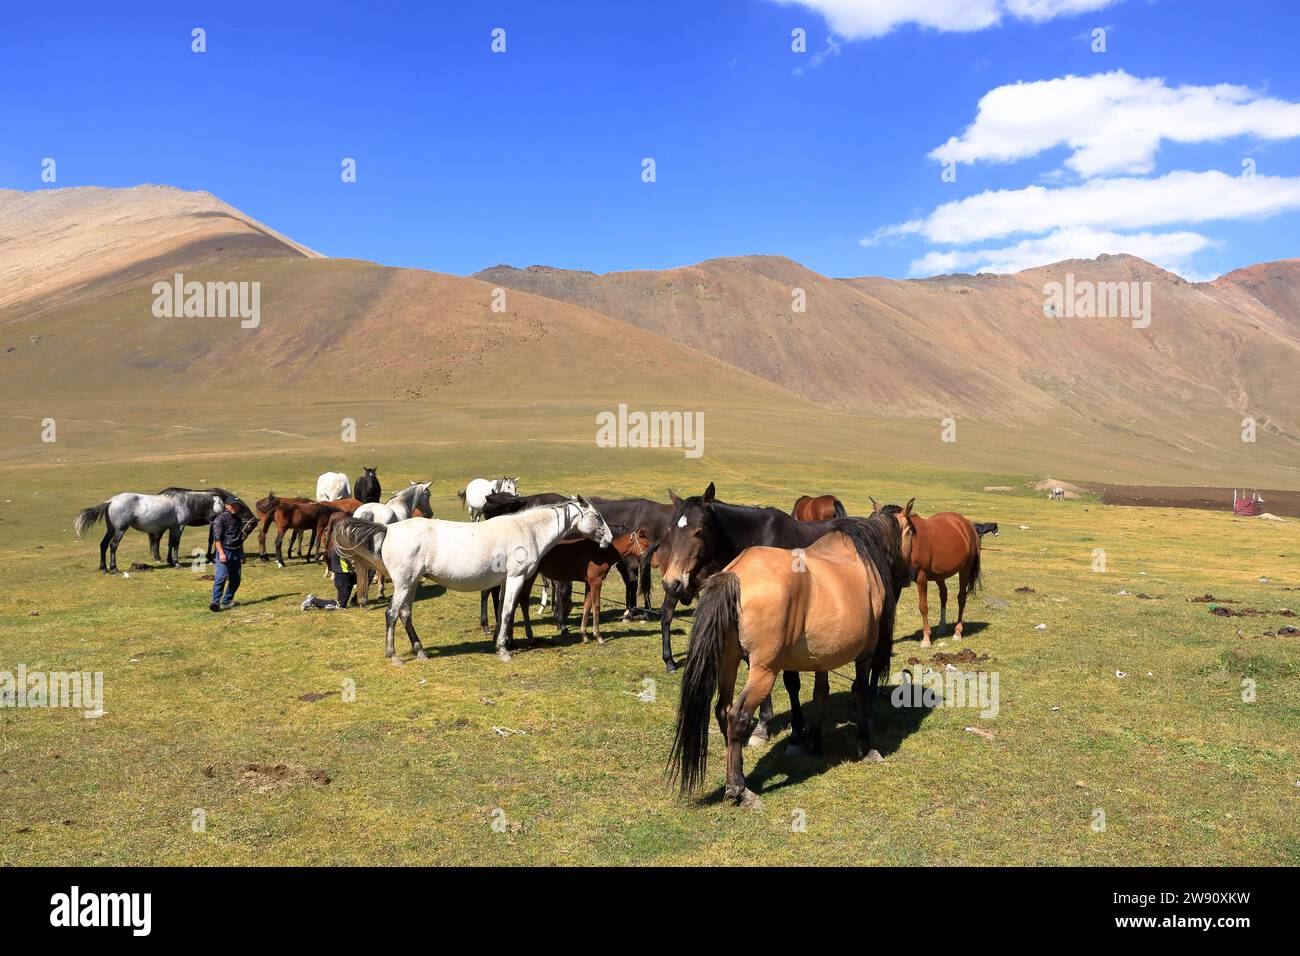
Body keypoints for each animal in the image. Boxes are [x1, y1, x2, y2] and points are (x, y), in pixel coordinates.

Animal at [74, 491, 223, 572]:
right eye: (221, 503)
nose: (221, 516)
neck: (183, 502)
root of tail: (110, 501)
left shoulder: (172, 528)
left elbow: (170, 544)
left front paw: (170, 561)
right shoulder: (179, 527)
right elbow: (176, 545)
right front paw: (176, 563)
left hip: (111, 529)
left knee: (103, 545)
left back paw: (104, 568)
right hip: (120, 530)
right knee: (113, 546)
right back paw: (114, 568)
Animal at [332, 497, 612, 664]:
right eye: (598, 516)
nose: (609, 539)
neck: (527, 530)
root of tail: (388, 528)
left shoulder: (503, 581)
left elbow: (502, 612)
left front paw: (501, 641)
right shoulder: (515, 577)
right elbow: (507, 611)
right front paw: (504, 650)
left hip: (410, 583)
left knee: (404, 614)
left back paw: (420, 651)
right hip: (403, 583)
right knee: (391, 613)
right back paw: (394, 656)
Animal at [668, 503, 915, 808]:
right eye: (912, 532)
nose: (910, 575)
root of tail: (735, 575)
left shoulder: (824, 654)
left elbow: (820, 692)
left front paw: (814, 741)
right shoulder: (865, 654)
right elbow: (858, 691)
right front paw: (866, 745)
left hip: (729, 661)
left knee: (722, 711)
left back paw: (735, 777)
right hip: (763, 670)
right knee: (737, 716)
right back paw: (740, 789)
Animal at [908, 508, 982, 646]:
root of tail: (967, 525)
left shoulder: (921, 577)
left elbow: (923, 607)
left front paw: (926, 639)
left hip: (964, 571)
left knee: (961, 598)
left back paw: (957, 632)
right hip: (939, 575)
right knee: (944, 595)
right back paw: (942, 627)